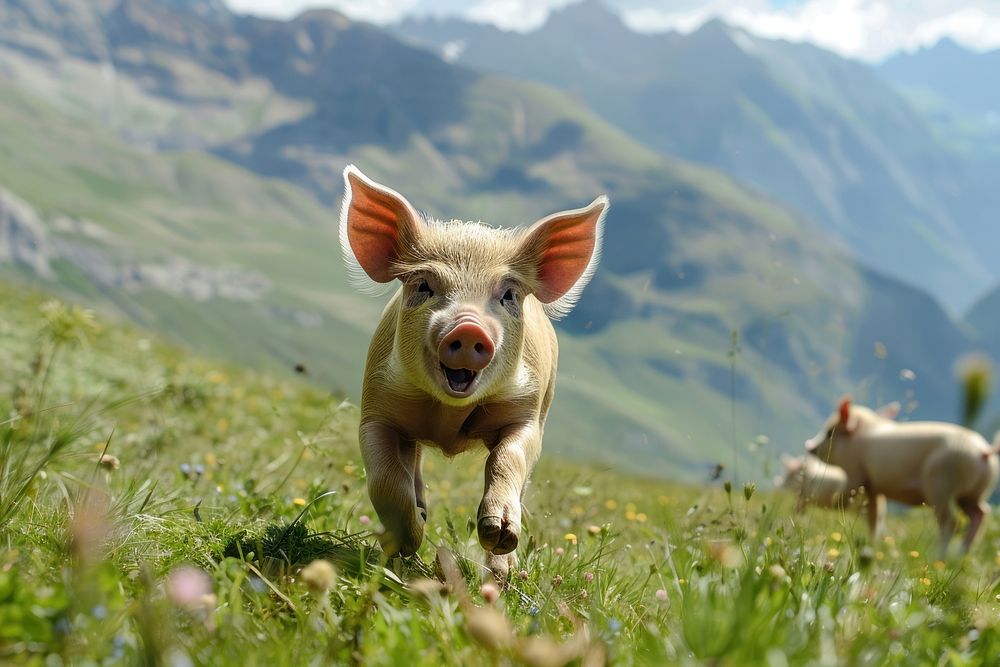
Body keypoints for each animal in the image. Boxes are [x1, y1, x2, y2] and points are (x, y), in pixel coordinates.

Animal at [338, 165, 608, 578]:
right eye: (424, 285)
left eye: (509, 295)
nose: (468, 327)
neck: (449, 419)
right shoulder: (377, 406)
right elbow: (384, 475)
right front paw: (407, 540)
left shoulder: (528, 414)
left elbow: (506, 459)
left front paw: (500, 535)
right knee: (412, 464)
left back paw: (502, 572)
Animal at [806, 397, 1000, 555]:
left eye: (829, 432)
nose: (809, 446)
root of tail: (984, 450)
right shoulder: (874, 488)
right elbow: (876, 516)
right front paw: (872, 544)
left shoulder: (855, 473)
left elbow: (843, 498)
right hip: (973, 494)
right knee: (980, 513)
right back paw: (960, 555)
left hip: (941, 484)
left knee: (951, 522)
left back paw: (937, 557)